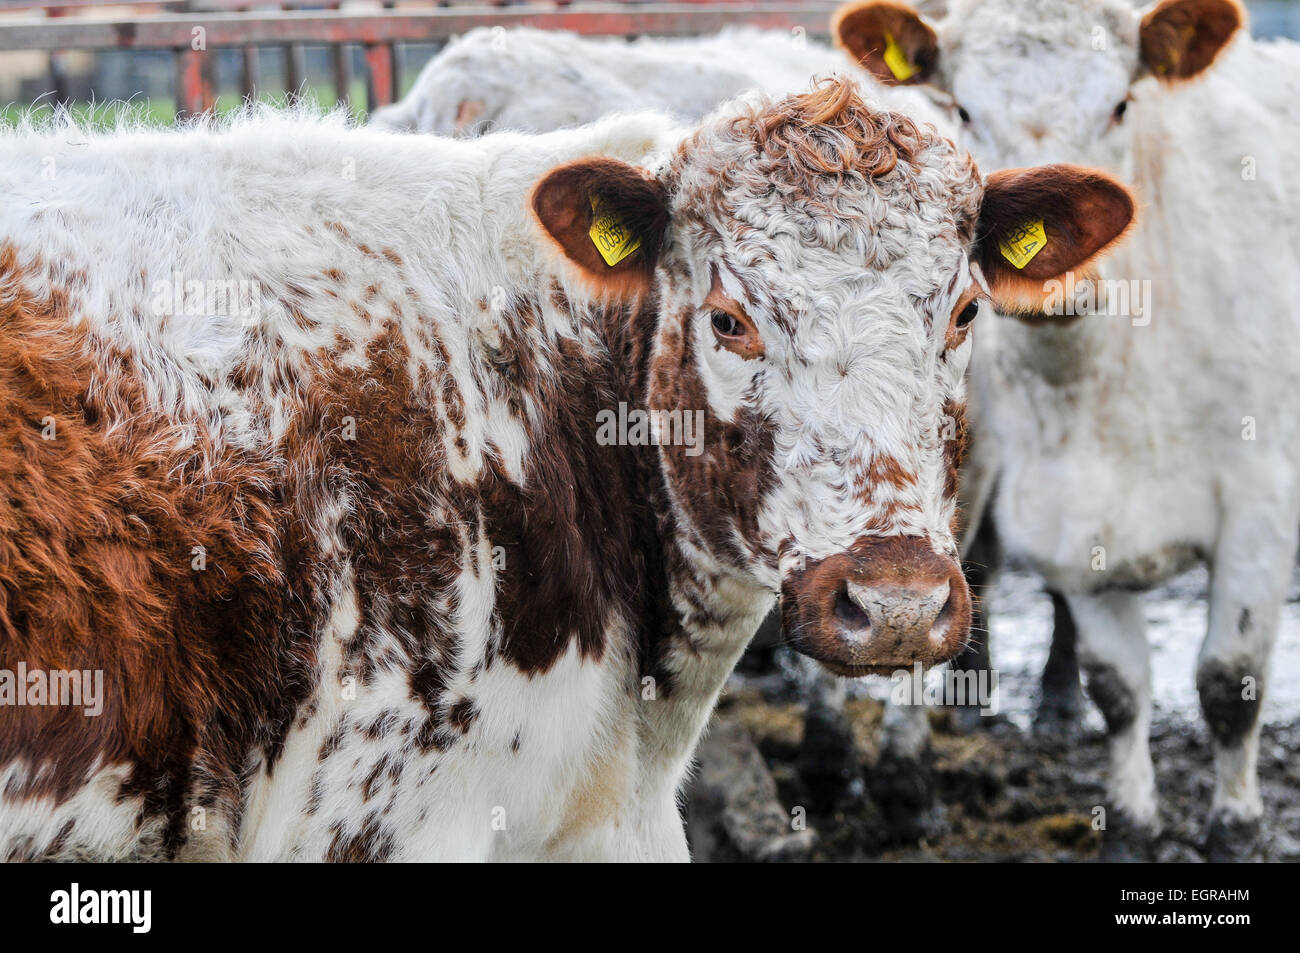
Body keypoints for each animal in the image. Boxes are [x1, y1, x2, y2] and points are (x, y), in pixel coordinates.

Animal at [835, 0, 1300, 860]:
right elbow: (1118, 688)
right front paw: (1132, 824)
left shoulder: (1262, 502)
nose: (1048, 280)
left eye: (1120, 104)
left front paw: (1236, 830)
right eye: (964, 110)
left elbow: (1230, 681)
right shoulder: (1073, 518)